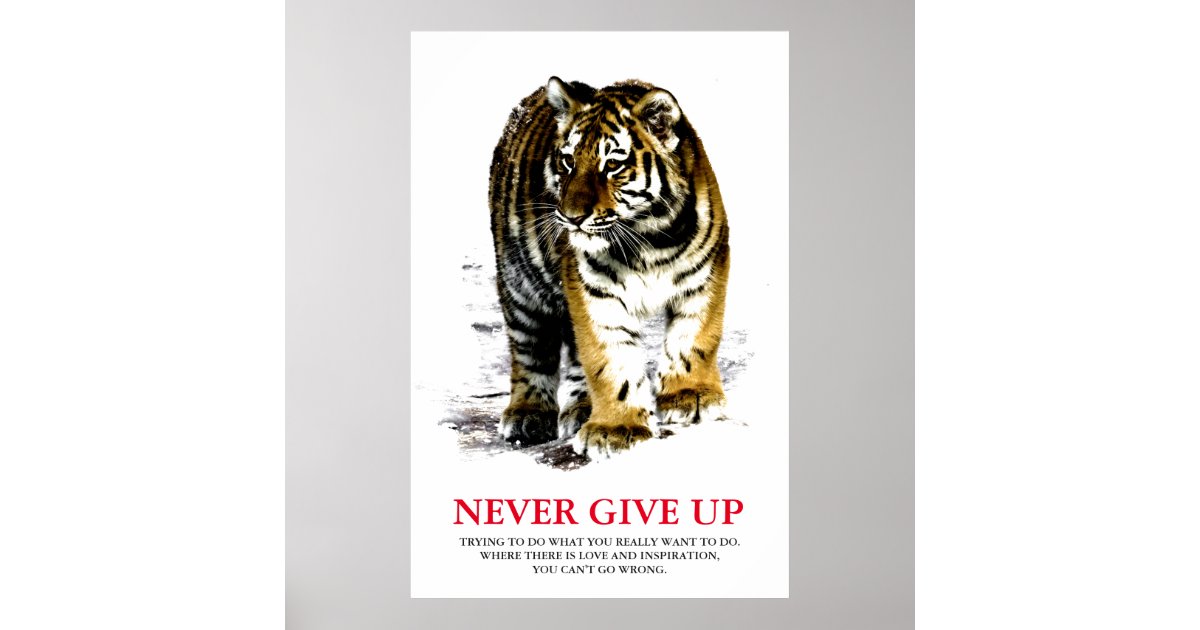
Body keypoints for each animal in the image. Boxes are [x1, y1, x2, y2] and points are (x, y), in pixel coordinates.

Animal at [488, 76, 730, 457]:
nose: (571, 217)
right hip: (519, 285)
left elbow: (695, 337)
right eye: (568, 161)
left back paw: (581, 409)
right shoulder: (593, 290)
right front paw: (617, 429)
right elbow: (609, 358)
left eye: (612, 165)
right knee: (530, 350)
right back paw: (529, 416)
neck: (650, 236)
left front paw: (690, 396)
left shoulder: (705, 273)